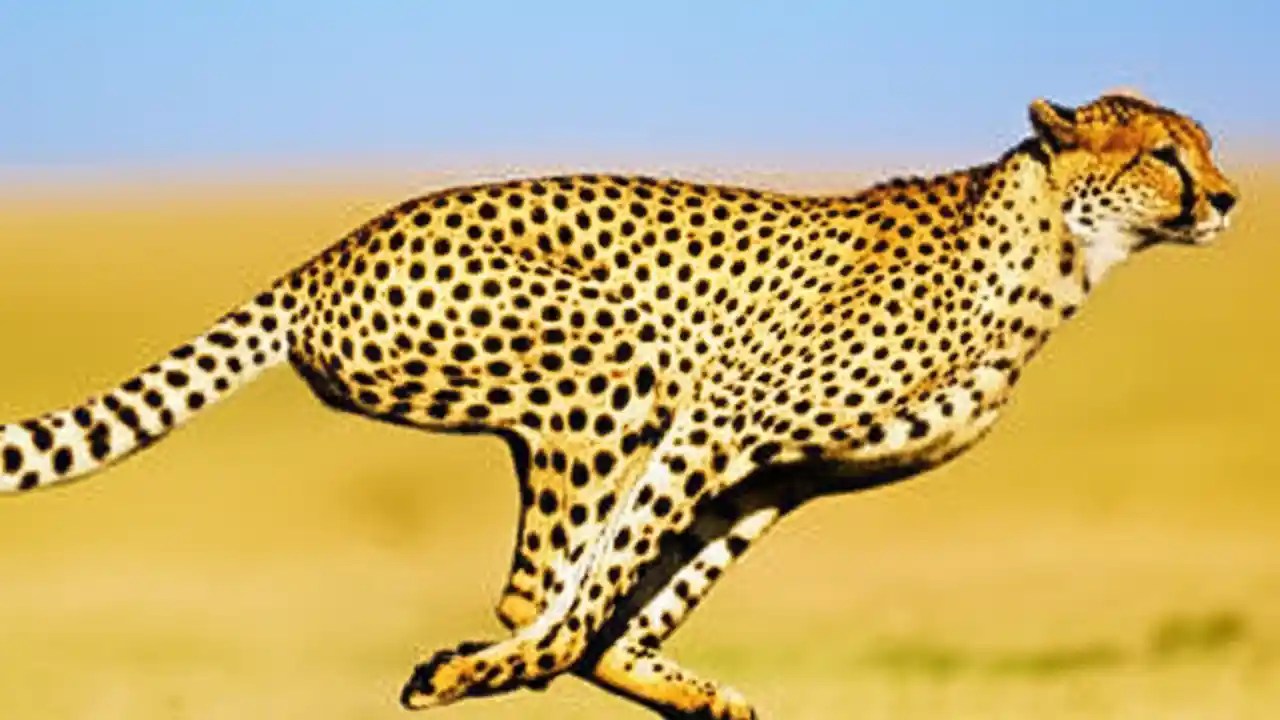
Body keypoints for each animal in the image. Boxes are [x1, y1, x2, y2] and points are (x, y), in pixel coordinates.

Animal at [0, 92, 1237, 718]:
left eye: (1204, 150)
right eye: (1164, 155)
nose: (1226, 198)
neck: (1056, 247)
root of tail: (329, 251)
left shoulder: (783, 469)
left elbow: (640, 596)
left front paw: (683, 689)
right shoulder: (723, 417)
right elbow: (590, 595)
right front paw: (477, 674)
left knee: (554, 580)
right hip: (613, 360)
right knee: (530, 584)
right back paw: (480, 663)